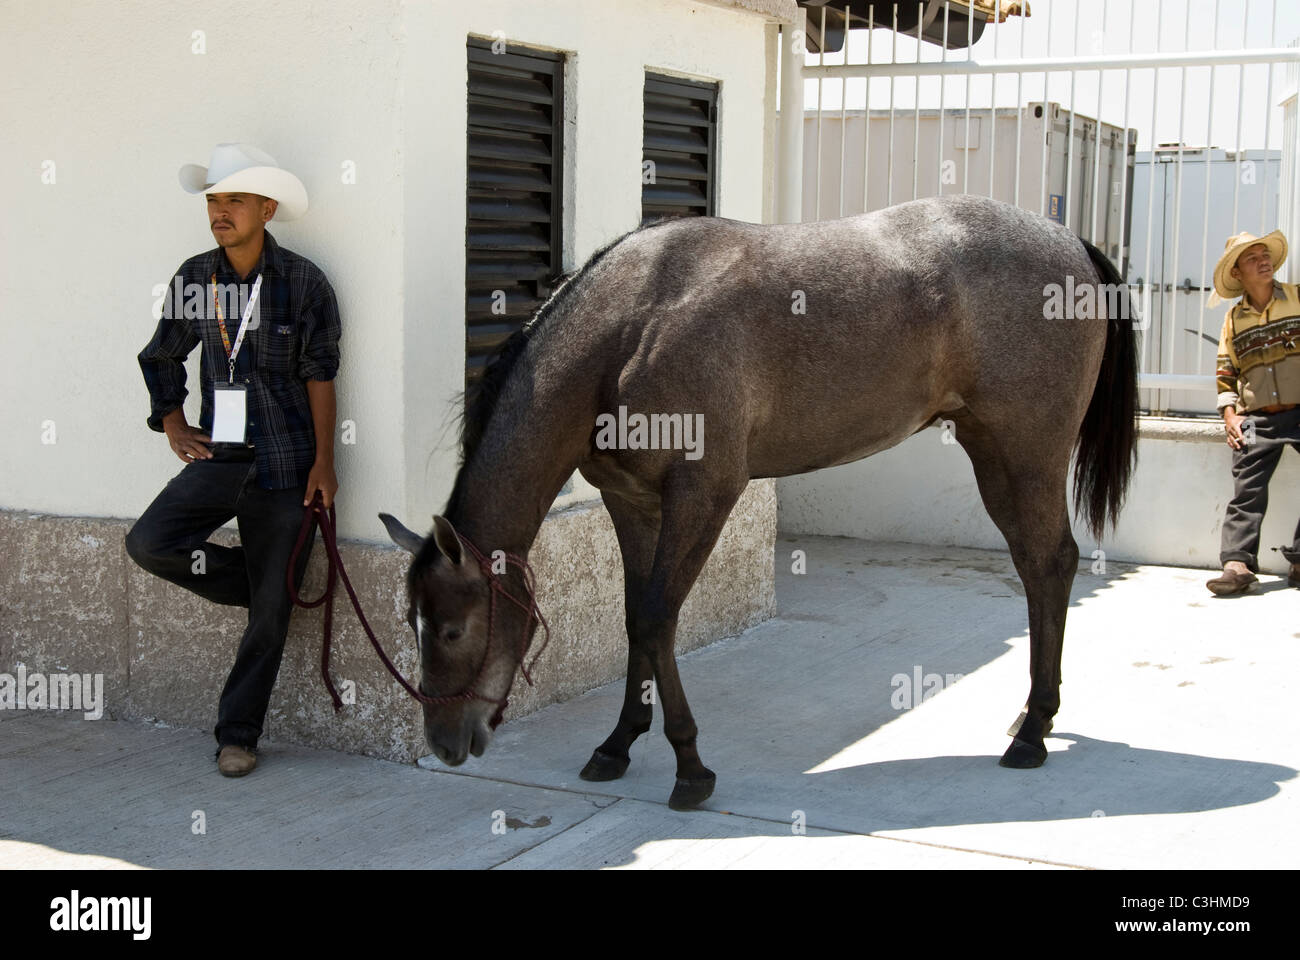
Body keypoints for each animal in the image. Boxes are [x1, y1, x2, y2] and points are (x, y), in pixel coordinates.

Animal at [380, 193, 1138, 810]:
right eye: (414, 624)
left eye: (452, 630)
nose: (446, 743)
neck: (634, 325)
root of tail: (1070, 240)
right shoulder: (632, 503)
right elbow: (634, 620)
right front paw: (617, 745)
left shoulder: (704, 495)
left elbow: (657, 619)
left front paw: (689, 766)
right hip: (994, 454)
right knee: (1039, 567)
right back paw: (1031, 718)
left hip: (1026, 455)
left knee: (1050, 564)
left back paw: (1032, 733)